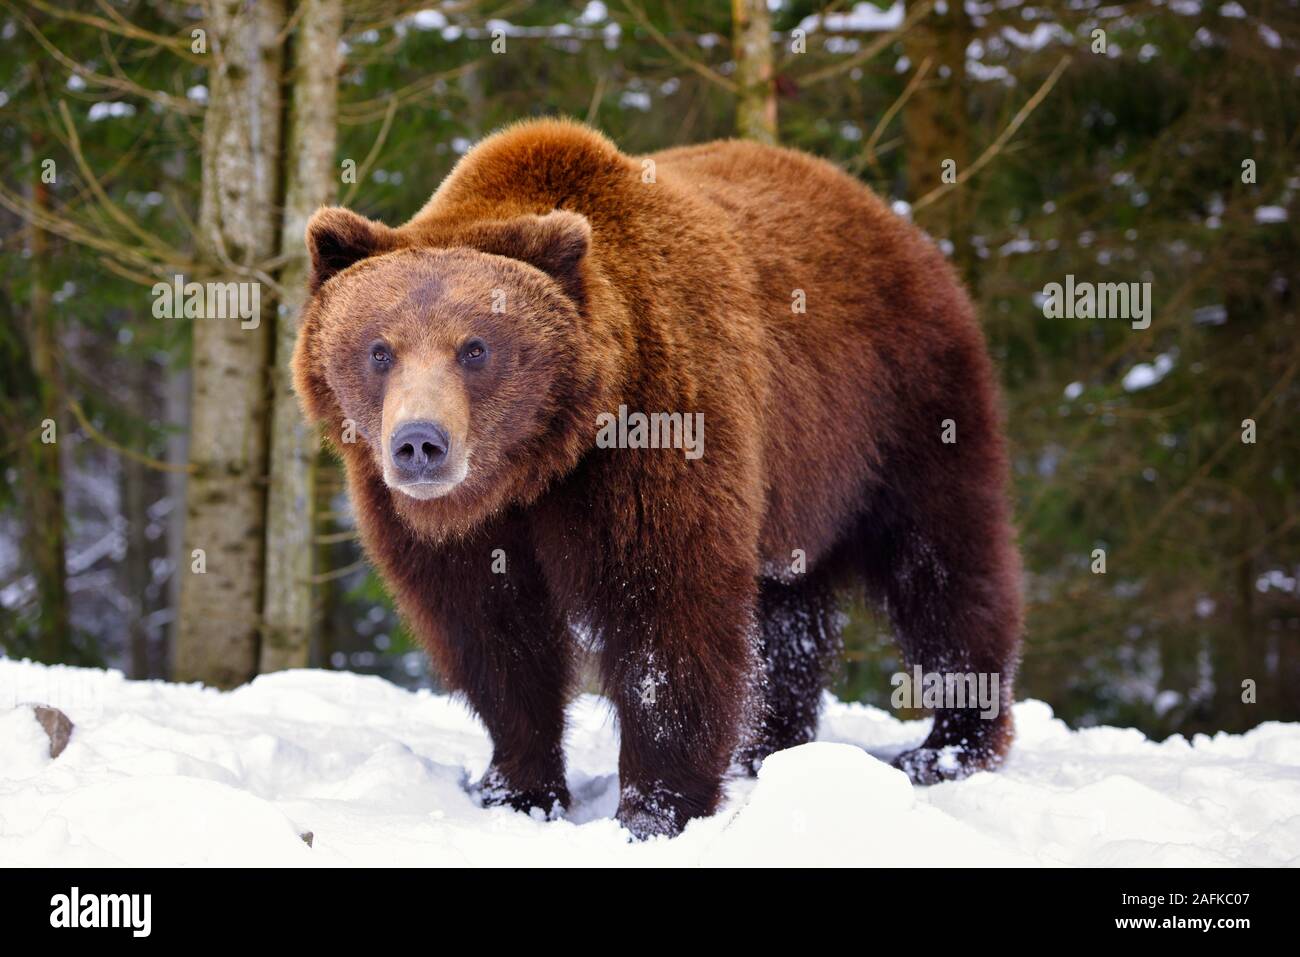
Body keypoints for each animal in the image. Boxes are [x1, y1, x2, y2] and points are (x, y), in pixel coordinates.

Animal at [292, 118, 1023, 839]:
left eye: (475, 348)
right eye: (379, 349)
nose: (420, 443)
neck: (535, 464)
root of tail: (889, 218)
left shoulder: (653, 436)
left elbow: (665, 617)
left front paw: (655, 810)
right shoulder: (454, 529)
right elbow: (492, 636)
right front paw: (517, 789)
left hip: (899, 404)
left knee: (943, 564)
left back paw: (947, 746)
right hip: (797, 480)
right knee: (791, 613)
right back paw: (768, 747)